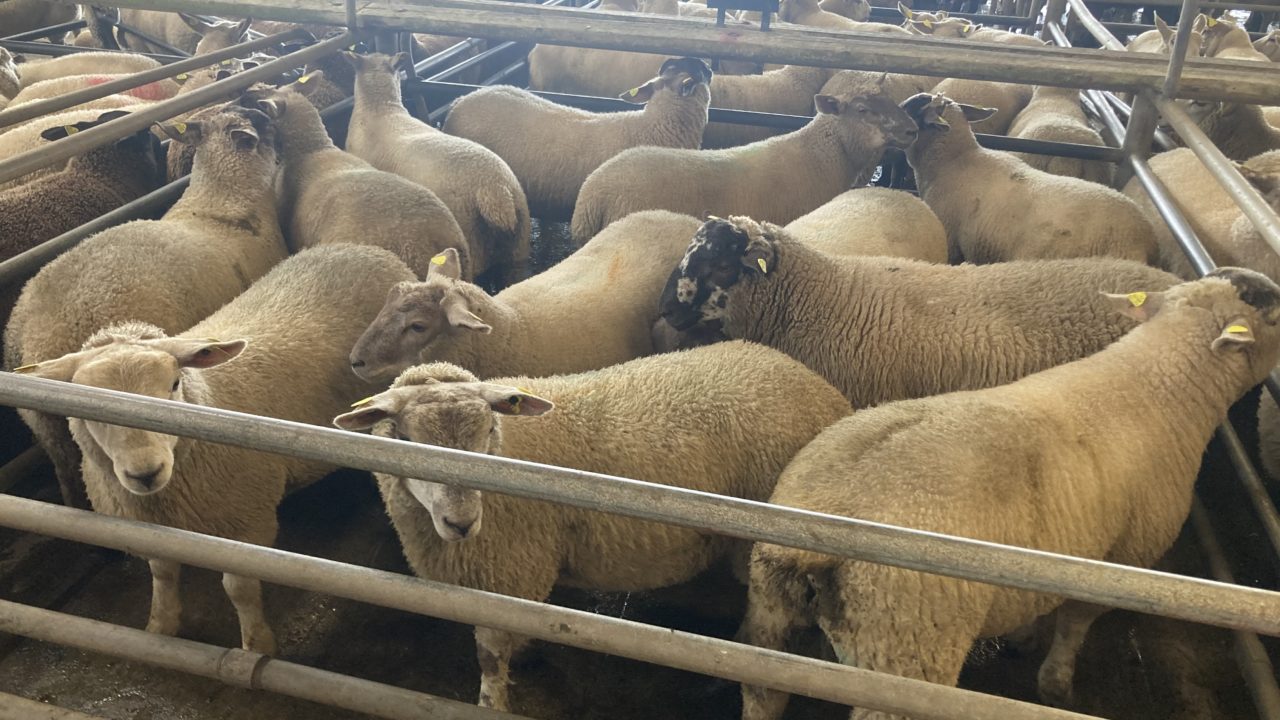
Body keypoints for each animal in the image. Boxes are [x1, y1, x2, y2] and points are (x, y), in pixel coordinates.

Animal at [15, 243, 417, 655]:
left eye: (174, 384)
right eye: (87, 403)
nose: (146, 472)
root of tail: (359, 248)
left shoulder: (245, 524)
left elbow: (238, 590)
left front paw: (257, 646)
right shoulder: (151, 529)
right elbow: (162, 573)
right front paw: (161, 625)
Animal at [331, 340, 852, 711]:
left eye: (486, 432)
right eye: (406, 439)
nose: (461, 522)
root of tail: (824, 392)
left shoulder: (507, 575)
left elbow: (491, 659)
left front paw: (491, 702)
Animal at [737, 267, 1280, 719]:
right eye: (1273, 312)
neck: (1160, 380)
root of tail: (823, 524)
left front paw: (1026, 636)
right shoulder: (1121, 559)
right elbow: (1075, 623)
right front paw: (1055, 682)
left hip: (769, 609)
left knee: (763, 688)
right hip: (907, 650)